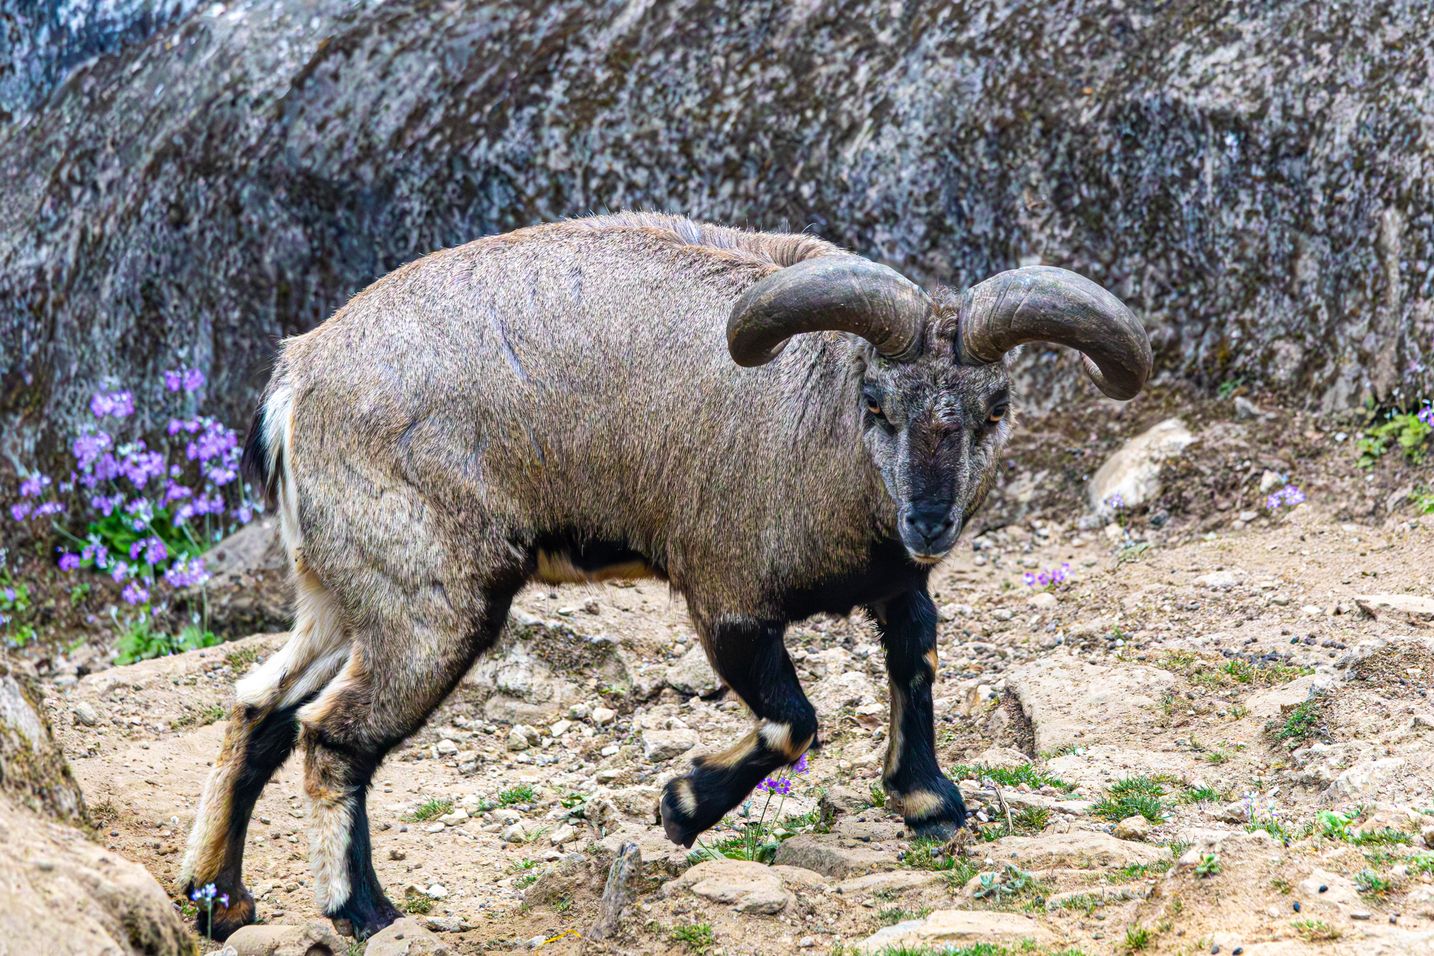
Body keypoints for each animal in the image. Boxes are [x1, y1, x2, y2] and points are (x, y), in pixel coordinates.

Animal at [178, 211, 1151, 939]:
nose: (929, 520)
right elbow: (792, 723)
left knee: (259, 705)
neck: (815, 431)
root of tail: (295, 382)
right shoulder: (727, 597)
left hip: (342, 591)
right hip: (434, 598)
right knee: (333, 736)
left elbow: (915, 654)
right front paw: (682, 806)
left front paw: (929, 800)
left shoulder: (893, 584)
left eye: (995, 407)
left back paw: (219, 899)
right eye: (876, 403)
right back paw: (364, 911)